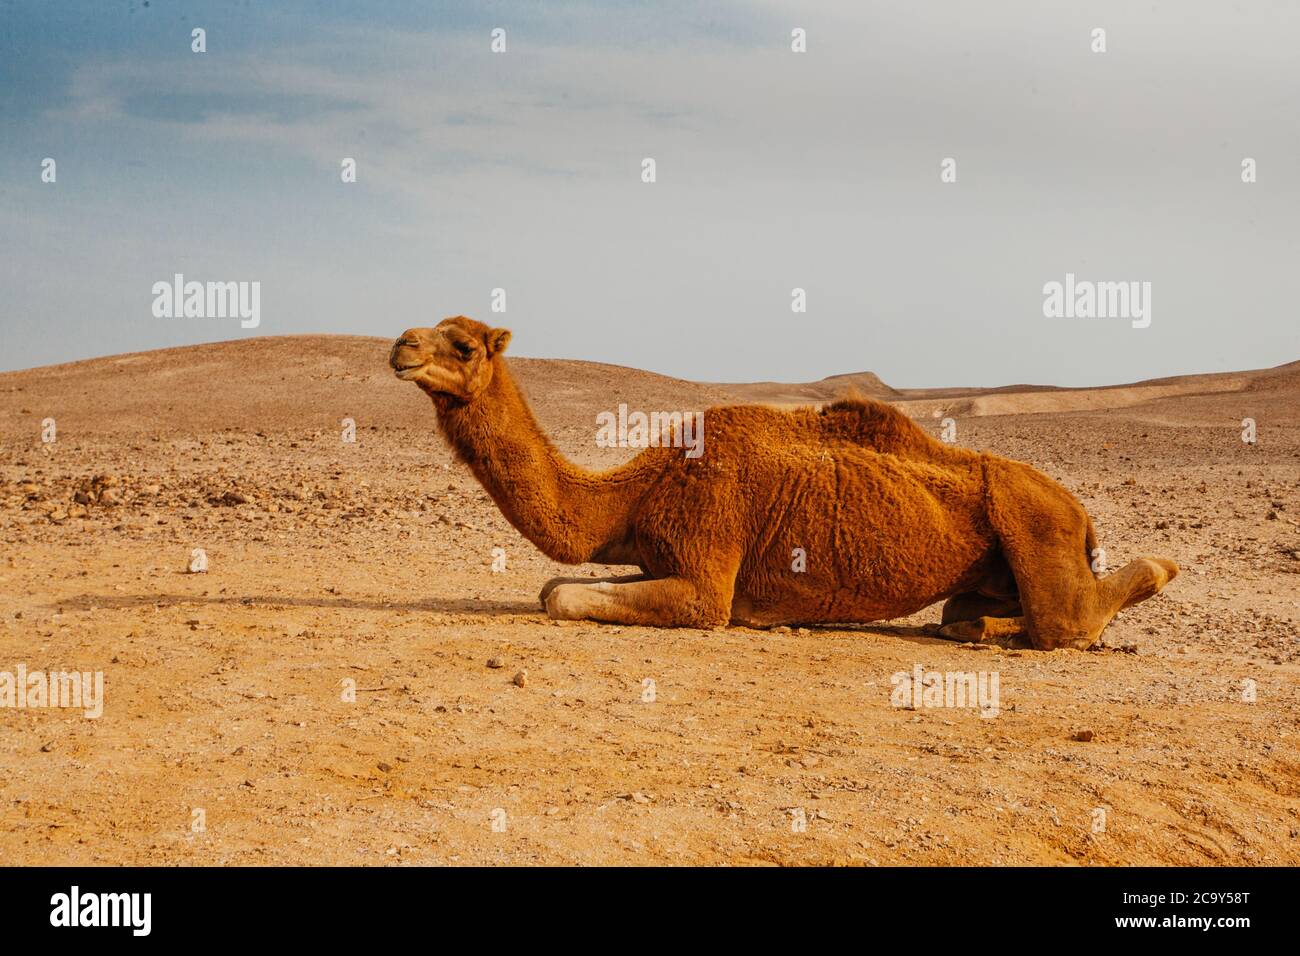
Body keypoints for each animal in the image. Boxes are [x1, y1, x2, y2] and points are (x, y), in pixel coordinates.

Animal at [390, 316, 1178, 650]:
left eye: (464, 345)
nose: (400, 345)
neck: (636, 493)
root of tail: (1078, 510)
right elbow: (557, 586)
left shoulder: (705, 575)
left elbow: (561, 598)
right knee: (966, 611)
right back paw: (979, 627)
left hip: (1036, 521)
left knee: (1069, 620)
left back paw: (1161, 567)